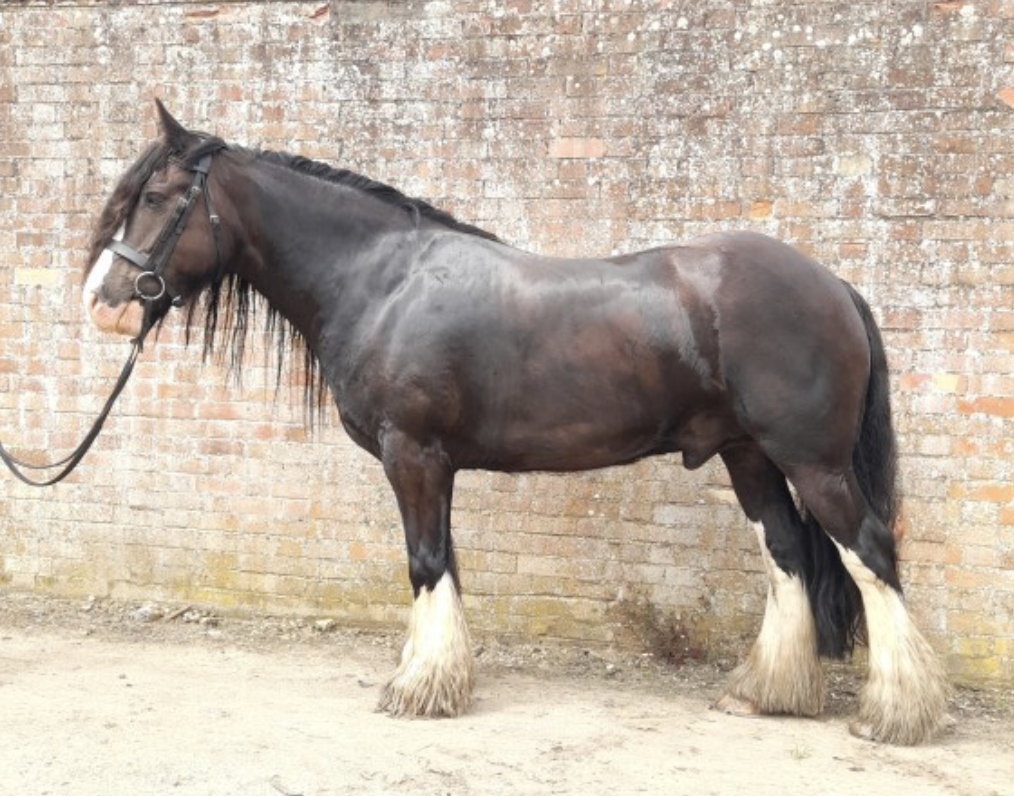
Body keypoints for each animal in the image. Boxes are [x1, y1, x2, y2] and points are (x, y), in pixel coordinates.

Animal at [81, 101, 948, 744]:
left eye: (155, 199)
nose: (105, 302)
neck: (382, 280)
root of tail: (833, 284)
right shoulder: (434, 464)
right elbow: (445, 563)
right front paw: (439, 677)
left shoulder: (414, 456)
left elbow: (426, 562)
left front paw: (419, 689)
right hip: (750, 457)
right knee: (788, 556)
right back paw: (766, 692)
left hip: (814, 461)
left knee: (871, 552)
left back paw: (895, 714)